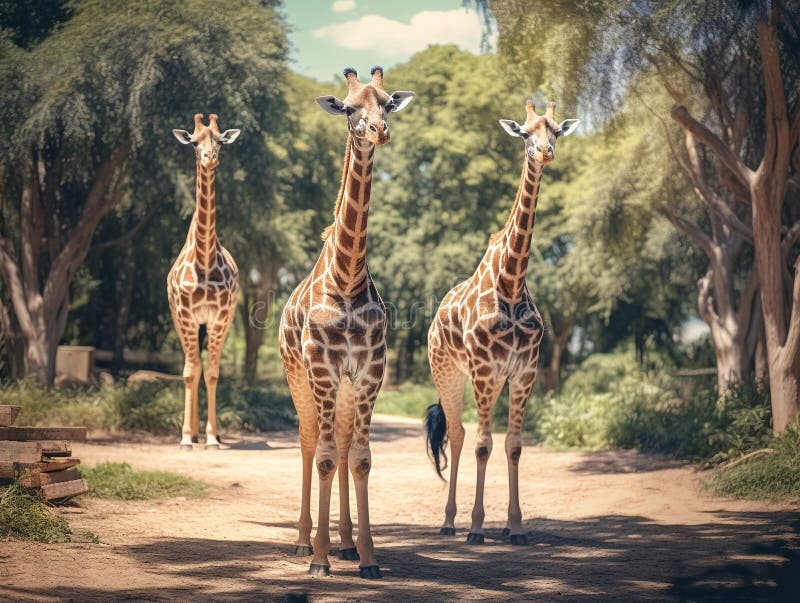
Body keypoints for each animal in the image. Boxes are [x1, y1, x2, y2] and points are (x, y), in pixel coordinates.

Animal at [279, 66, 414, 579]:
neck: (348, 275)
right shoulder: (321, 370)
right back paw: (303, 544)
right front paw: (318, 560)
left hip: (346, 389)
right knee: (308, 443)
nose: (380, 130)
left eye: (387, 103)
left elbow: (359, 459)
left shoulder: (370, 373)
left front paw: (369, 557)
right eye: (351, 107)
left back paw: (347, 545)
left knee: (336, 444)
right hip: (299, 378)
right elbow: (322, 458)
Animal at [425, 100, 579, 545]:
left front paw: (516, 527)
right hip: (448, 371)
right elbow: (482, 445)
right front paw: (477, 528)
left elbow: (512, 446)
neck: (511, 284)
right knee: (458, 434)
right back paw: (449, 523)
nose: (544, 153)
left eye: (555, 132)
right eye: (525, 133)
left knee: (465, 435)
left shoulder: (524, 371)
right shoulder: (484, 370)